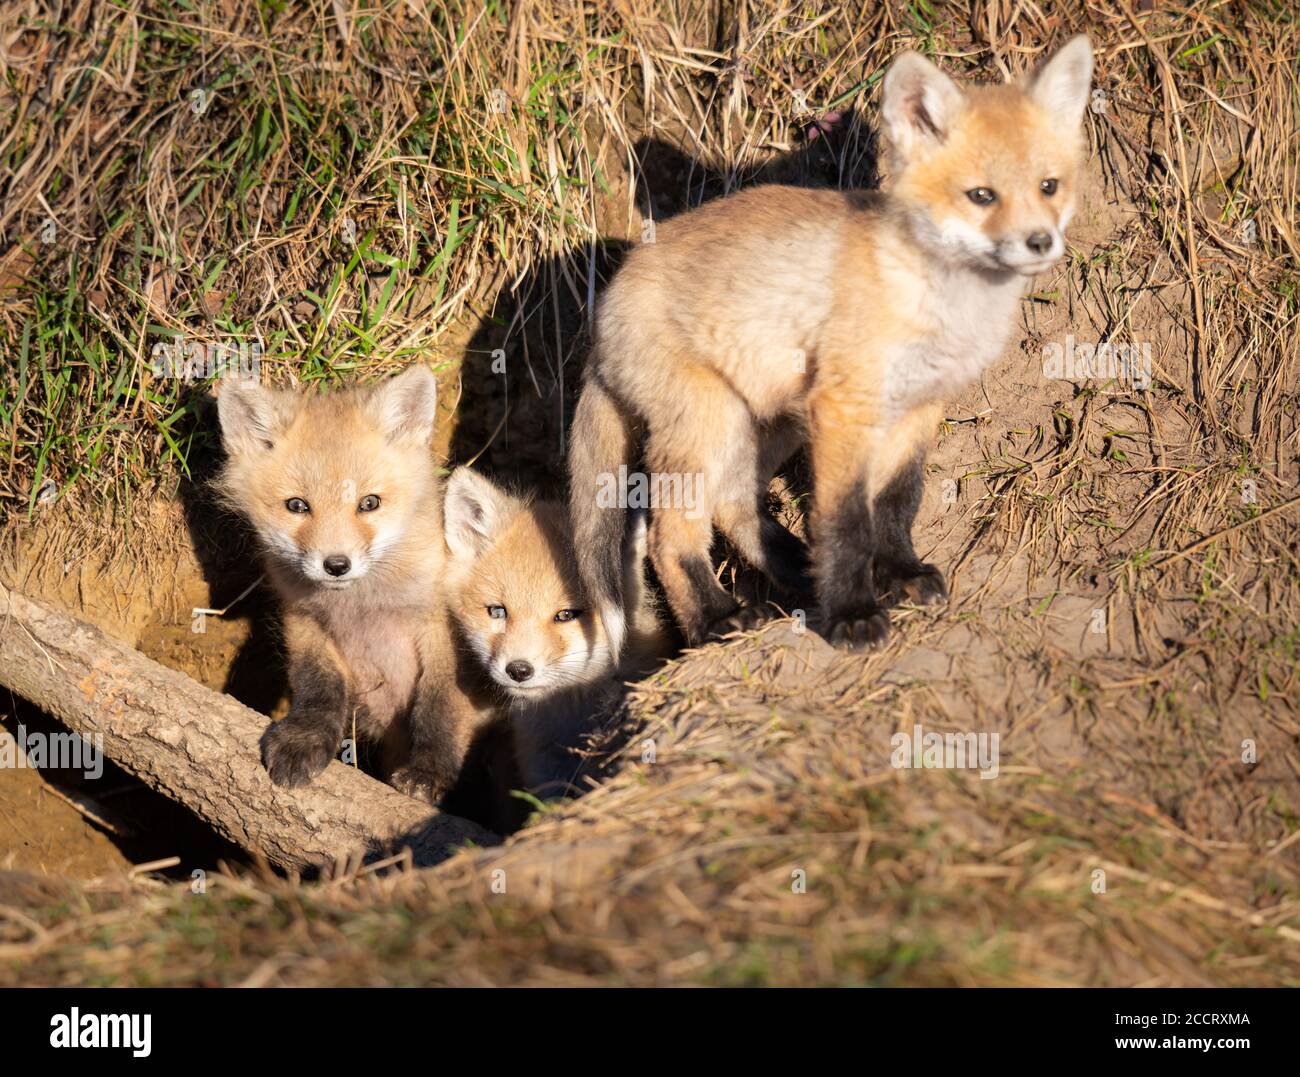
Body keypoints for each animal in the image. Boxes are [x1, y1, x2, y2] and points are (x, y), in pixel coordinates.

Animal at [215, 365, 493, 804]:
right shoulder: (304, 620)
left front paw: (430, 770)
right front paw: (305, 739)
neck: (364, 608)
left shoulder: (443, 632)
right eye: (297, 506)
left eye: (369, 503)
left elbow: (440, 706)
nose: (336, 565)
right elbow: (318, 686)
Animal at [569, 36, 1094, 653]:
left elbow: (896, 501)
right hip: (709, 421)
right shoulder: (847, 407)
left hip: (769, 423)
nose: (1040, 242)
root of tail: (600, 321)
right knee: (667, 536)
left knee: (732, 502)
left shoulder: (918, 405)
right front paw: (852, 612)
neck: (936, 299)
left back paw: (793, 568)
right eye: (981, 196)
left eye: (1048, 186)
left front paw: (901, 573)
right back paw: (714, 619)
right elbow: (845, 519)